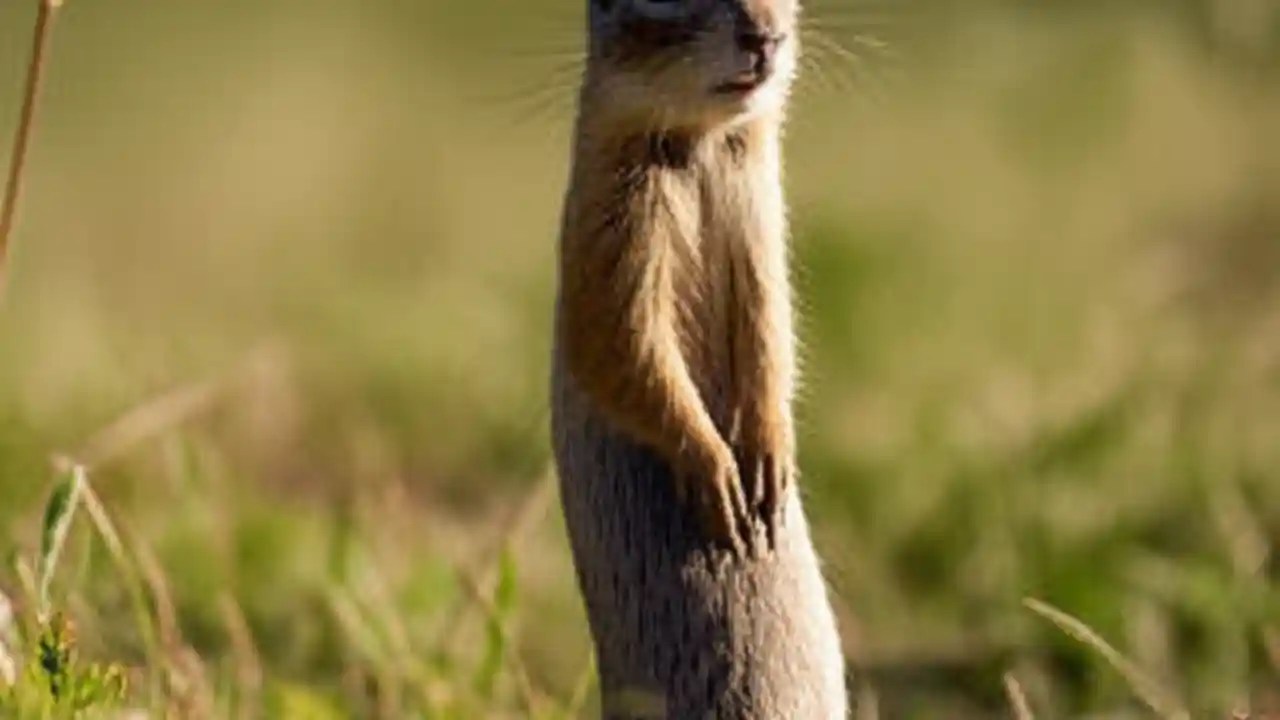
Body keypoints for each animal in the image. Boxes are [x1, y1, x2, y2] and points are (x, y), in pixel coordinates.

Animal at [552, 0, 847, 717]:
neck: (706, 145)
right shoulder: (609, 236)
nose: (765, 35)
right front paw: (716, 472)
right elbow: (625, 346)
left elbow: (772, 331)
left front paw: (770, 455)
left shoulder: (763, 223)